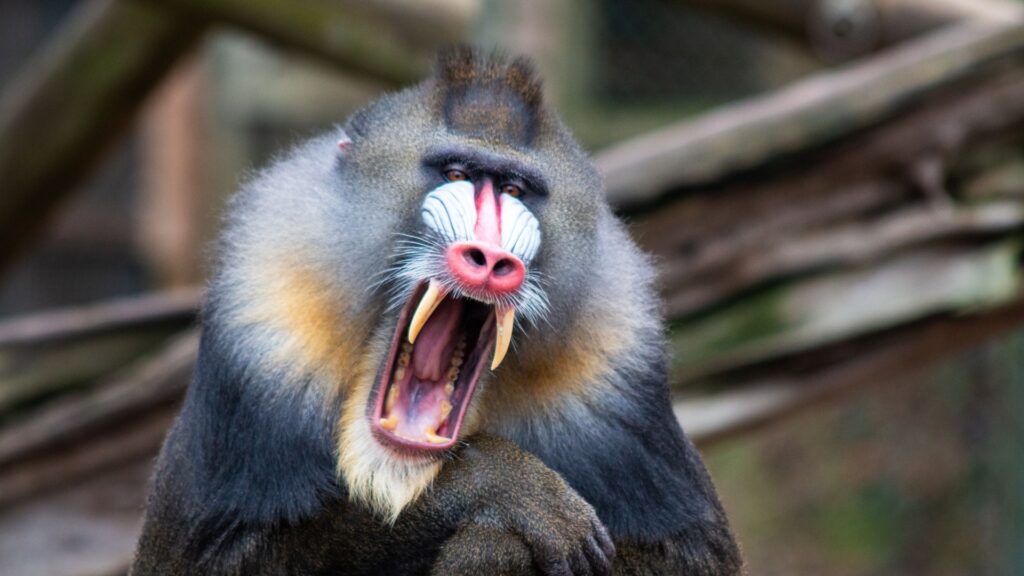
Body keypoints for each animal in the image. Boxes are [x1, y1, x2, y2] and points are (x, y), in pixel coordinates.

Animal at [130, 47, 742, 576]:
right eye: (455, 174)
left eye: (514, 189)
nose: (490, 259)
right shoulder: (267, 324)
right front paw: (502, 486)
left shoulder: (613, 371)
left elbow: (691, 554)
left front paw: (493, 542)